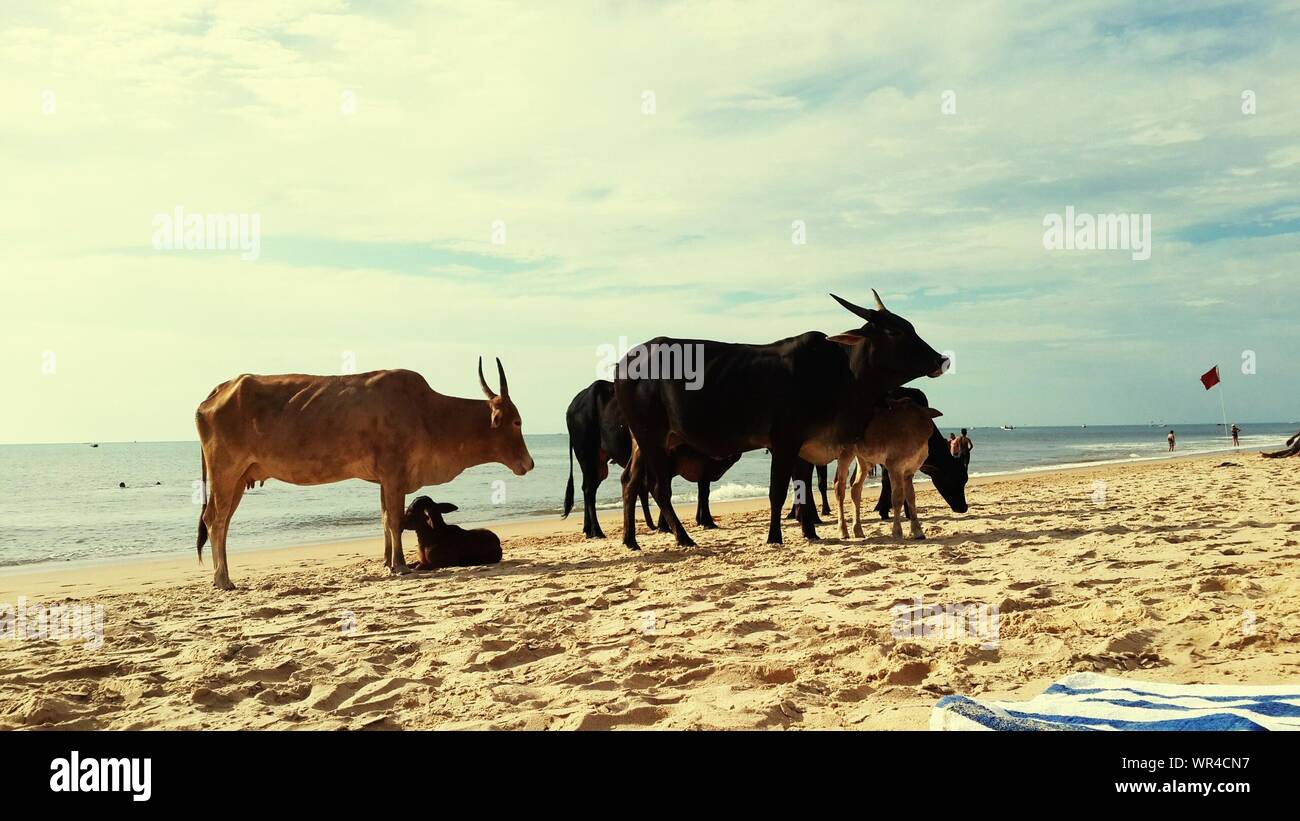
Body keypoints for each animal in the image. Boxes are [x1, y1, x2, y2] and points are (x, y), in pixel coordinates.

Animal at [194, 359, 533, 589]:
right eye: (516, 422)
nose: (528, 463)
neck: (430, 415)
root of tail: (220, 390)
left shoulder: (386, 479)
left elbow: (384, 519)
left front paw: (387, 562)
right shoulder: (394, 474)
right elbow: (394, 520)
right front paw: (399, 566)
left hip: (239, 479)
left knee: (222, 521)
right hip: (225, 472)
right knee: (215, 520)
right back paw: (222, 579)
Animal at [614, 290, 947, 550]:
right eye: (895, 332)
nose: (941, 360)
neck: (842, 373)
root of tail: (625, 362)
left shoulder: (805, 447)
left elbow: (802, 491)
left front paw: (810, 533)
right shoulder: (784, 442)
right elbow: (779, 491)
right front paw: (775, 537)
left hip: (642, 441)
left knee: (630, 481)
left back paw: (631, 541)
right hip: (653, 438)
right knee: (659, 488)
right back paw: (683, 538)